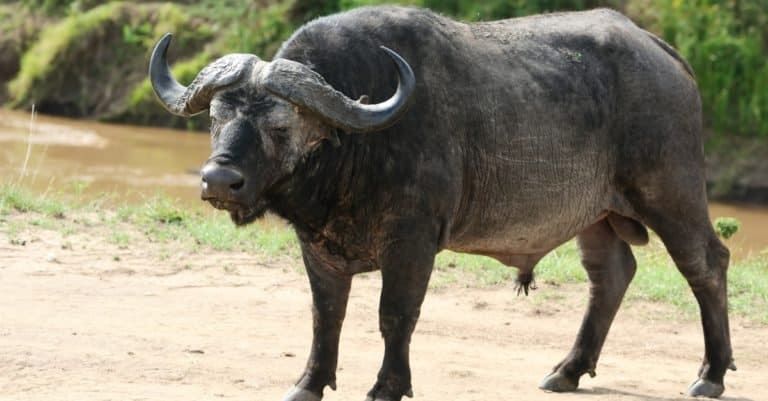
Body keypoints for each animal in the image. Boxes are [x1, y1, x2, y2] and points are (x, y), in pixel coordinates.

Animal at [149, 6, 734, 400]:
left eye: (279, 126)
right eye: (216, 119)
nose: (219, 180)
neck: (358, 144)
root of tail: (665, 54)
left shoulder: (412, 241)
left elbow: (395, 315)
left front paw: (388, 385)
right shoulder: (318, 246)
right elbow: (325, 315)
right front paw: (309, 383)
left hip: (672, 193)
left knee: (707, 264)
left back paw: (710, 375)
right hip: (597, 216)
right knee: (610, 274)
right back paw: (567, 370)